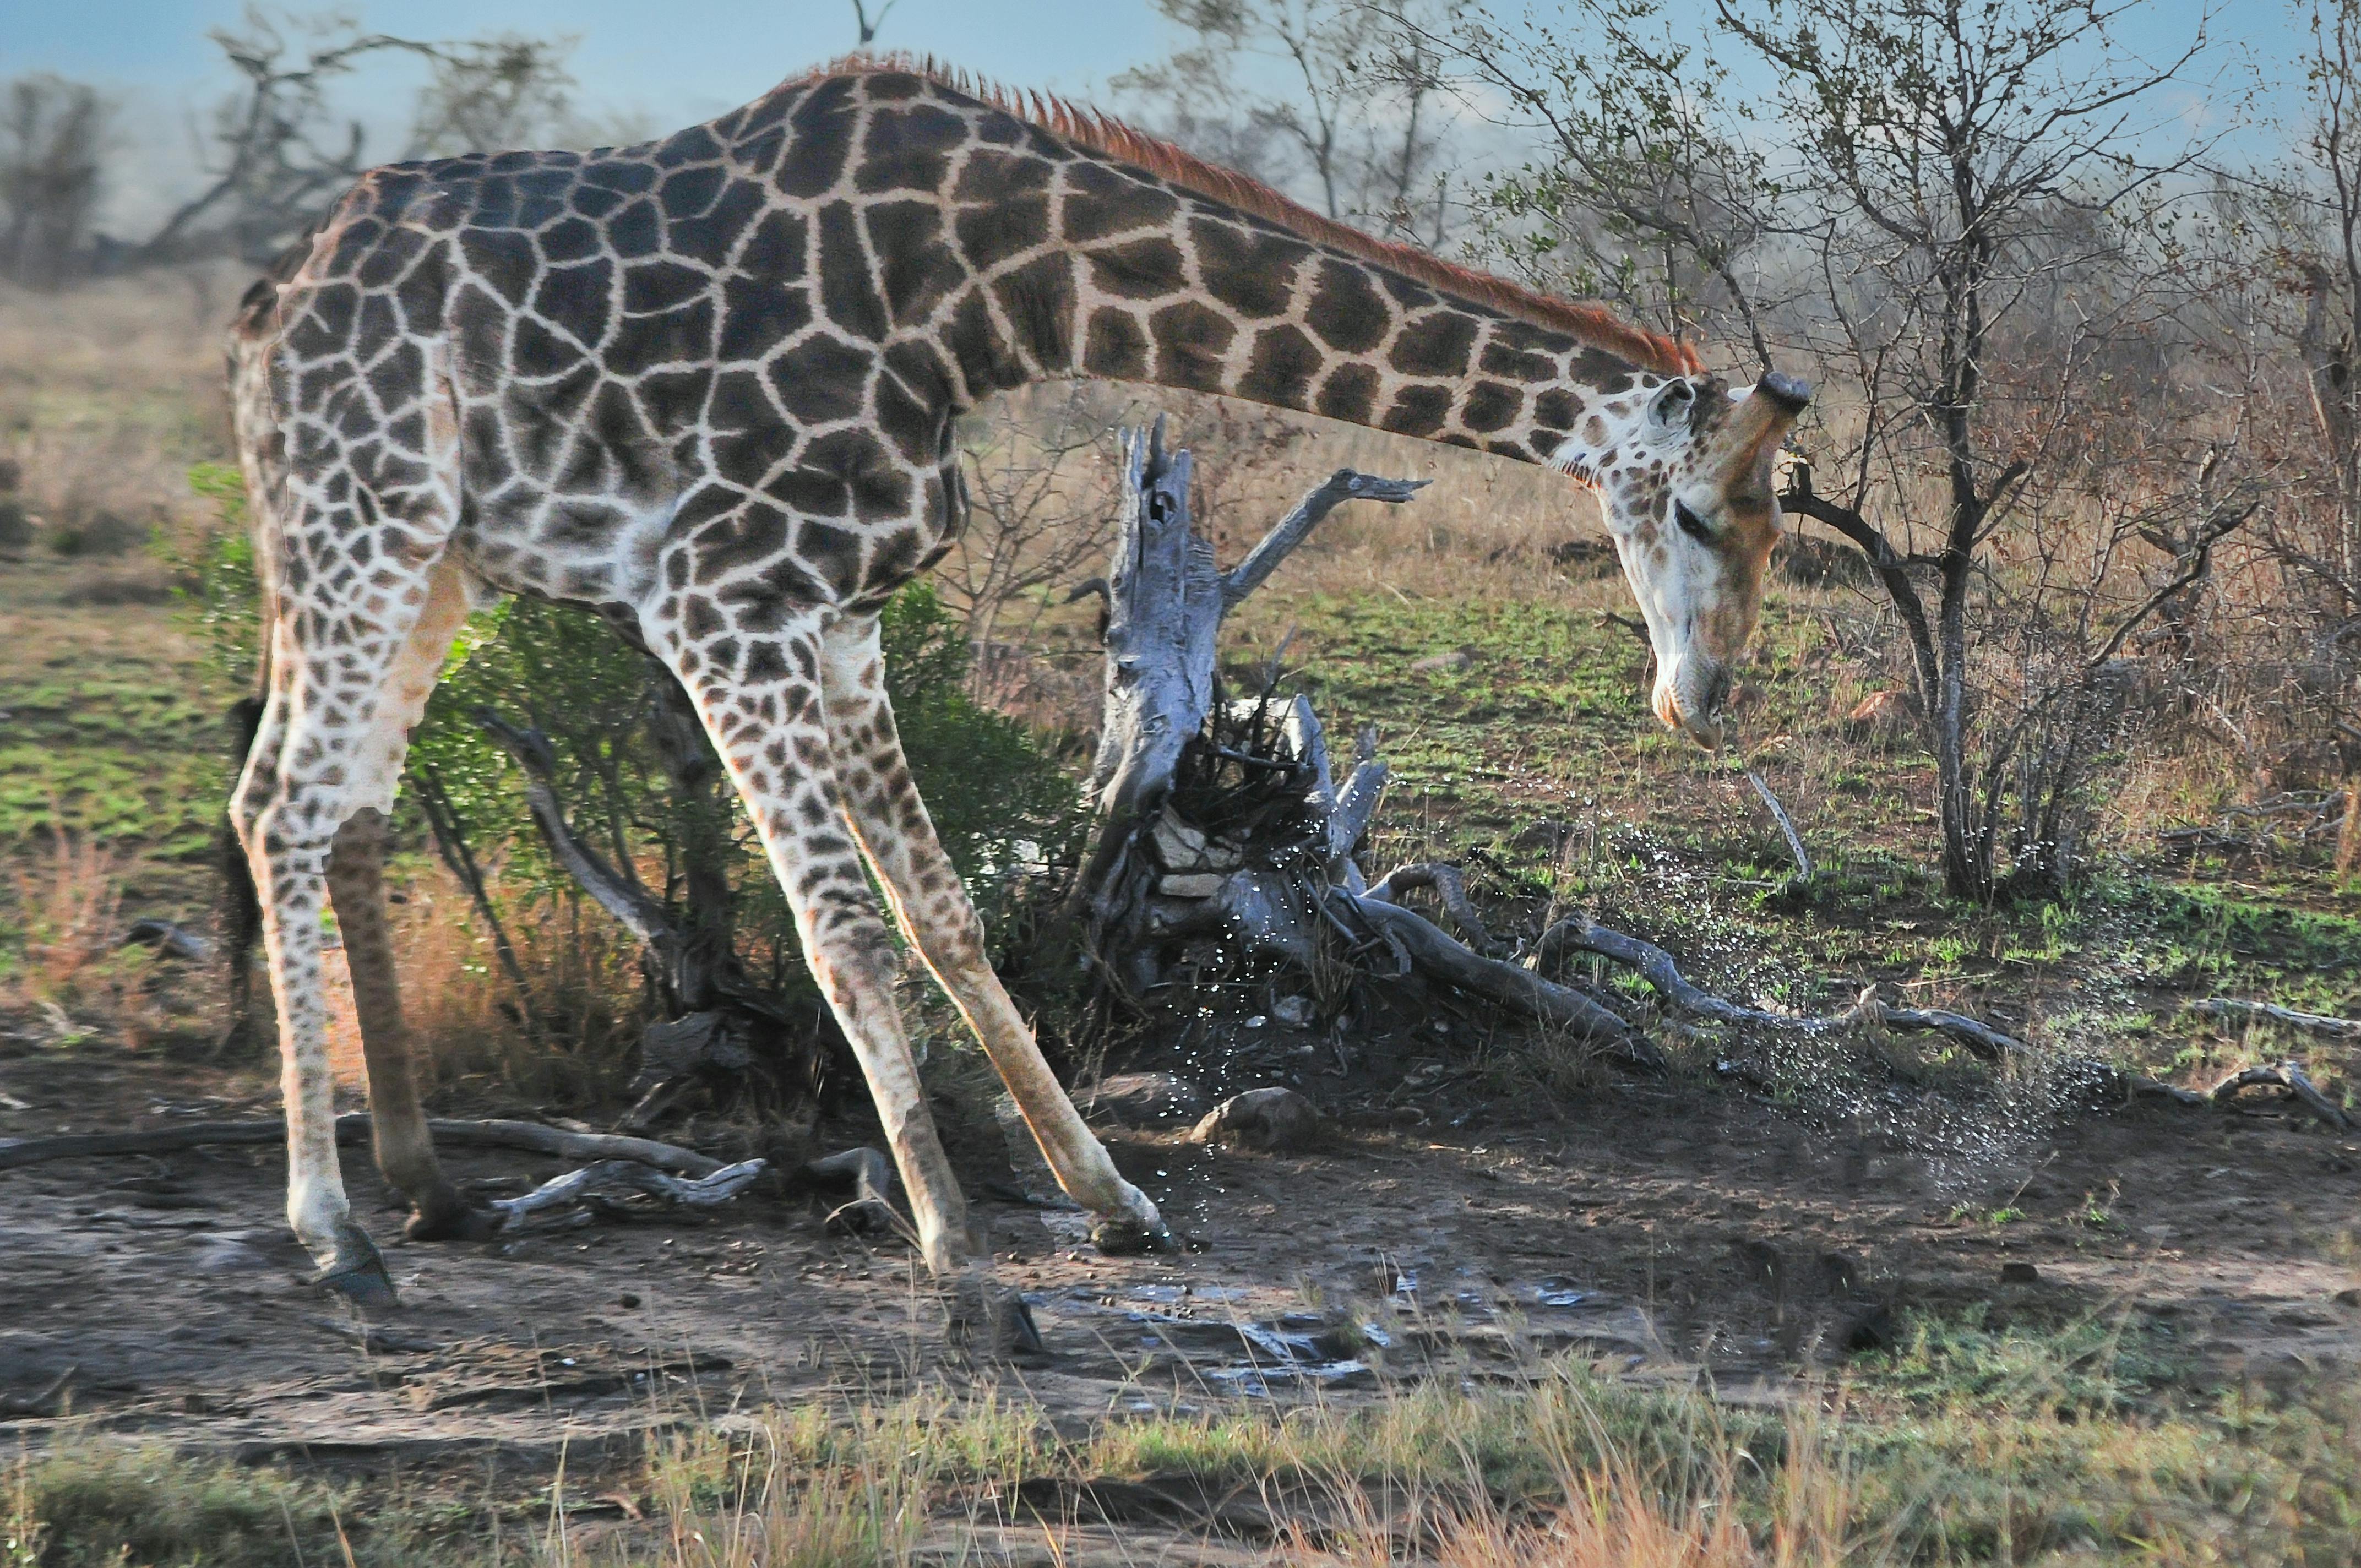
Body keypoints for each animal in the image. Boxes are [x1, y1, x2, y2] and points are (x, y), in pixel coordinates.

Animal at [226, 55, 1809, 1304]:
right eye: (1691, 514)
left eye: (1777, 524)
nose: (1699, 697)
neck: (983, 299)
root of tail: (265, 306)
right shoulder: (717, 599)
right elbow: (844, 931)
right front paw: (956, 1250)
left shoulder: (844, 615)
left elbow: (944, 915)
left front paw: (1112, 1201)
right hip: (355, 526)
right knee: (279, 806)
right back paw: (332, 1231)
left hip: (436, 557)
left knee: (348, 808)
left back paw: (430, 1189)